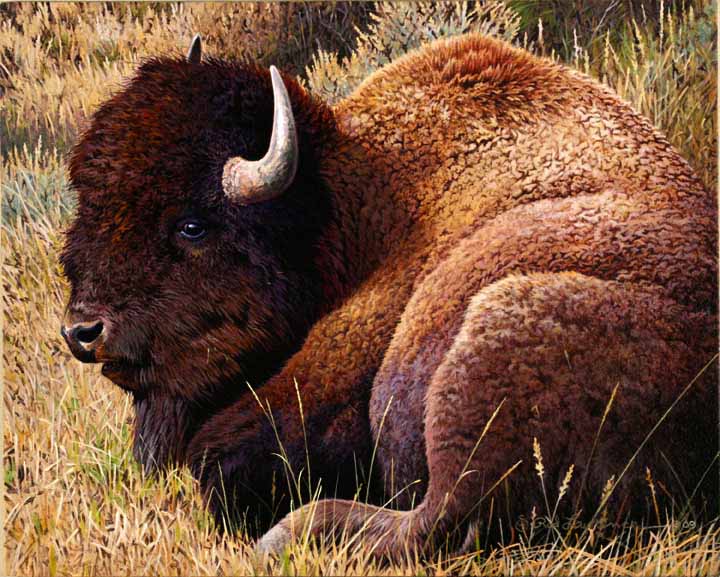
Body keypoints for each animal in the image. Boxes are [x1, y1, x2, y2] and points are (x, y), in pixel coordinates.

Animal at [61, 33, 717, 559]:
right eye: (89, 203)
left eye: (193, 226)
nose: (81, 332)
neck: (350, 205)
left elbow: (221, 457)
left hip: (496, 327)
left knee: (436, 517)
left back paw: (283, 536)